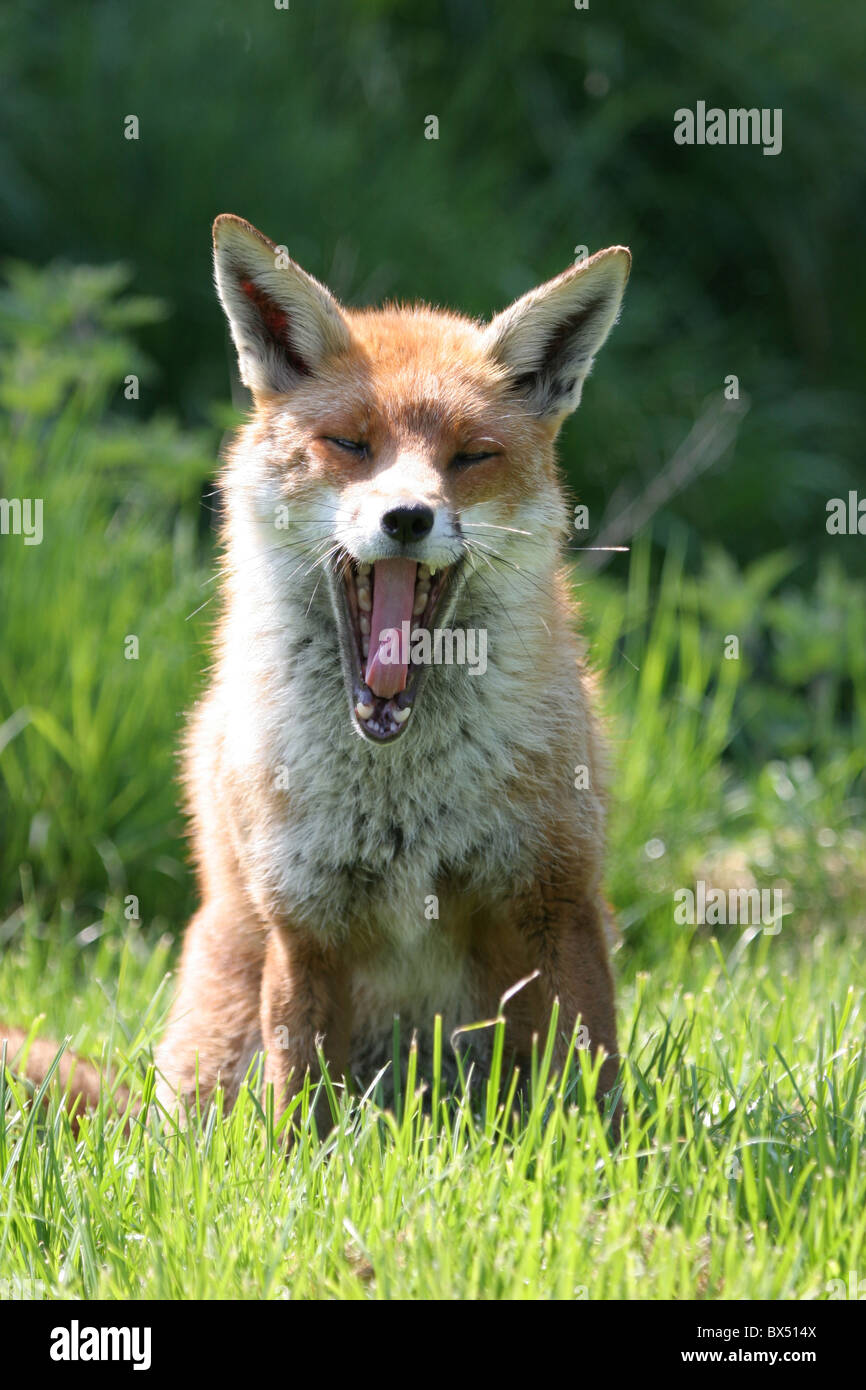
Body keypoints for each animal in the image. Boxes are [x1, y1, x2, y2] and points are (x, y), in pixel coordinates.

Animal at [3, 215, 630, 1133]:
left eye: (471, 456)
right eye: (350, 445)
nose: (407, 517)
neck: (406, 797)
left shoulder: (557, 895)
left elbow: (595, 1084)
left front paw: (606, 1154)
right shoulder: (303, 922)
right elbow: (300, 1107)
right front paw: (298, 1163)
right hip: (217, 1028)